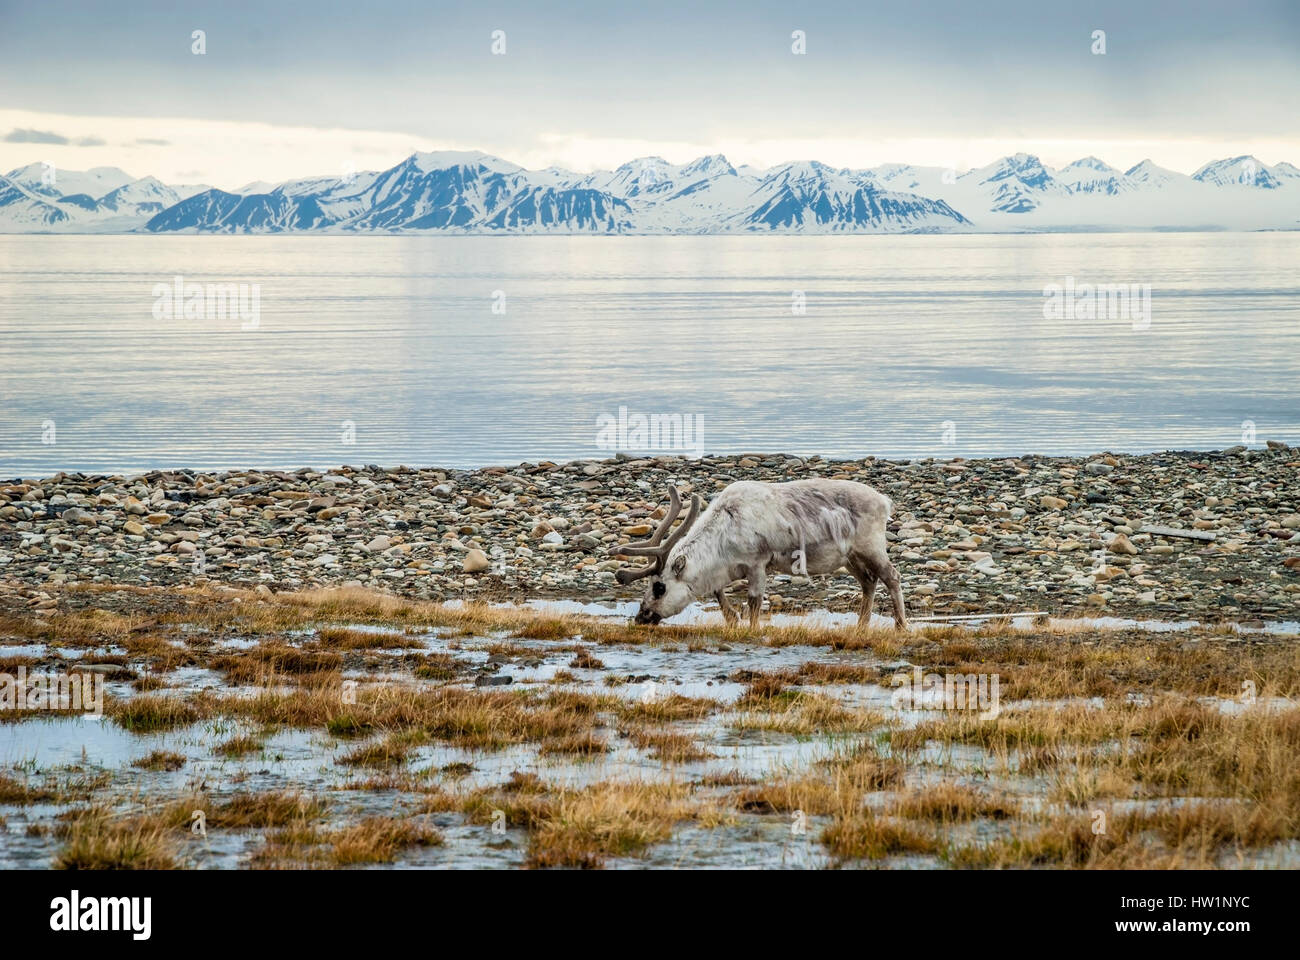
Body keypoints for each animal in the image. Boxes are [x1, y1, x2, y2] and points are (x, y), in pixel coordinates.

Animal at [612, 479, 907, 630]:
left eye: (659, 587)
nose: (641, 617)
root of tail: (884, 501)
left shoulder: (758, 563)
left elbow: (754, 600)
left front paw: (752, 629)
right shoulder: (732, 569)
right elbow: (718, 591)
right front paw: (732, 618)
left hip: (870, 546)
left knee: (892, 576)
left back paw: (900, 625)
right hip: (850, 558)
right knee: (869, 582)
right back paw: (860, 626)